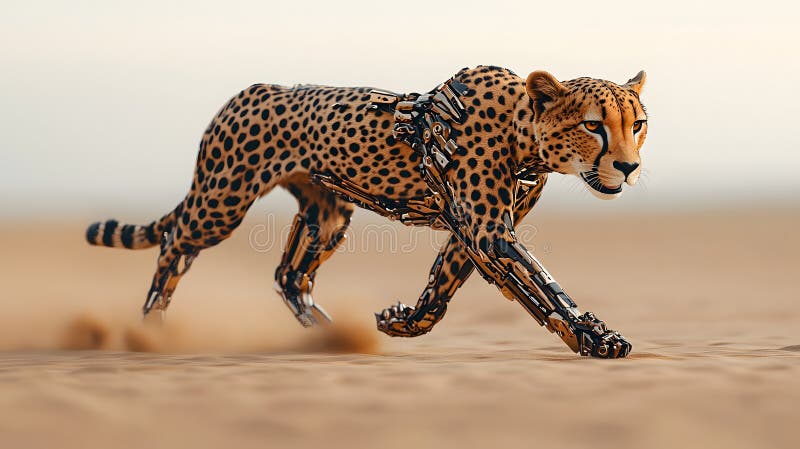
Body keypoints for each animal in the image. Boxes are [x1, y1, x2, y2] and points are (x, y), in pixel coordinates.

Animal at [86, 65, 648, 358]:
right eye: (594, 125)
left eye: (637, 123)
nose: (629, 167)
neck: (522, 130)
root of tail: (246, 91)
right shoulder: (489, 231)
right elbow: (546, 289)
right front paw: (595, 336)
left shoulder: (470, 231)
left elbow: (442, 288)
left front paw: (403, 321)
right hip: (222, 201)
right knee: (174, 241)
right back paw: (149, 327)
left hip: (327, 217)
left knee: (290, 275)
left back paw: (330, 337)